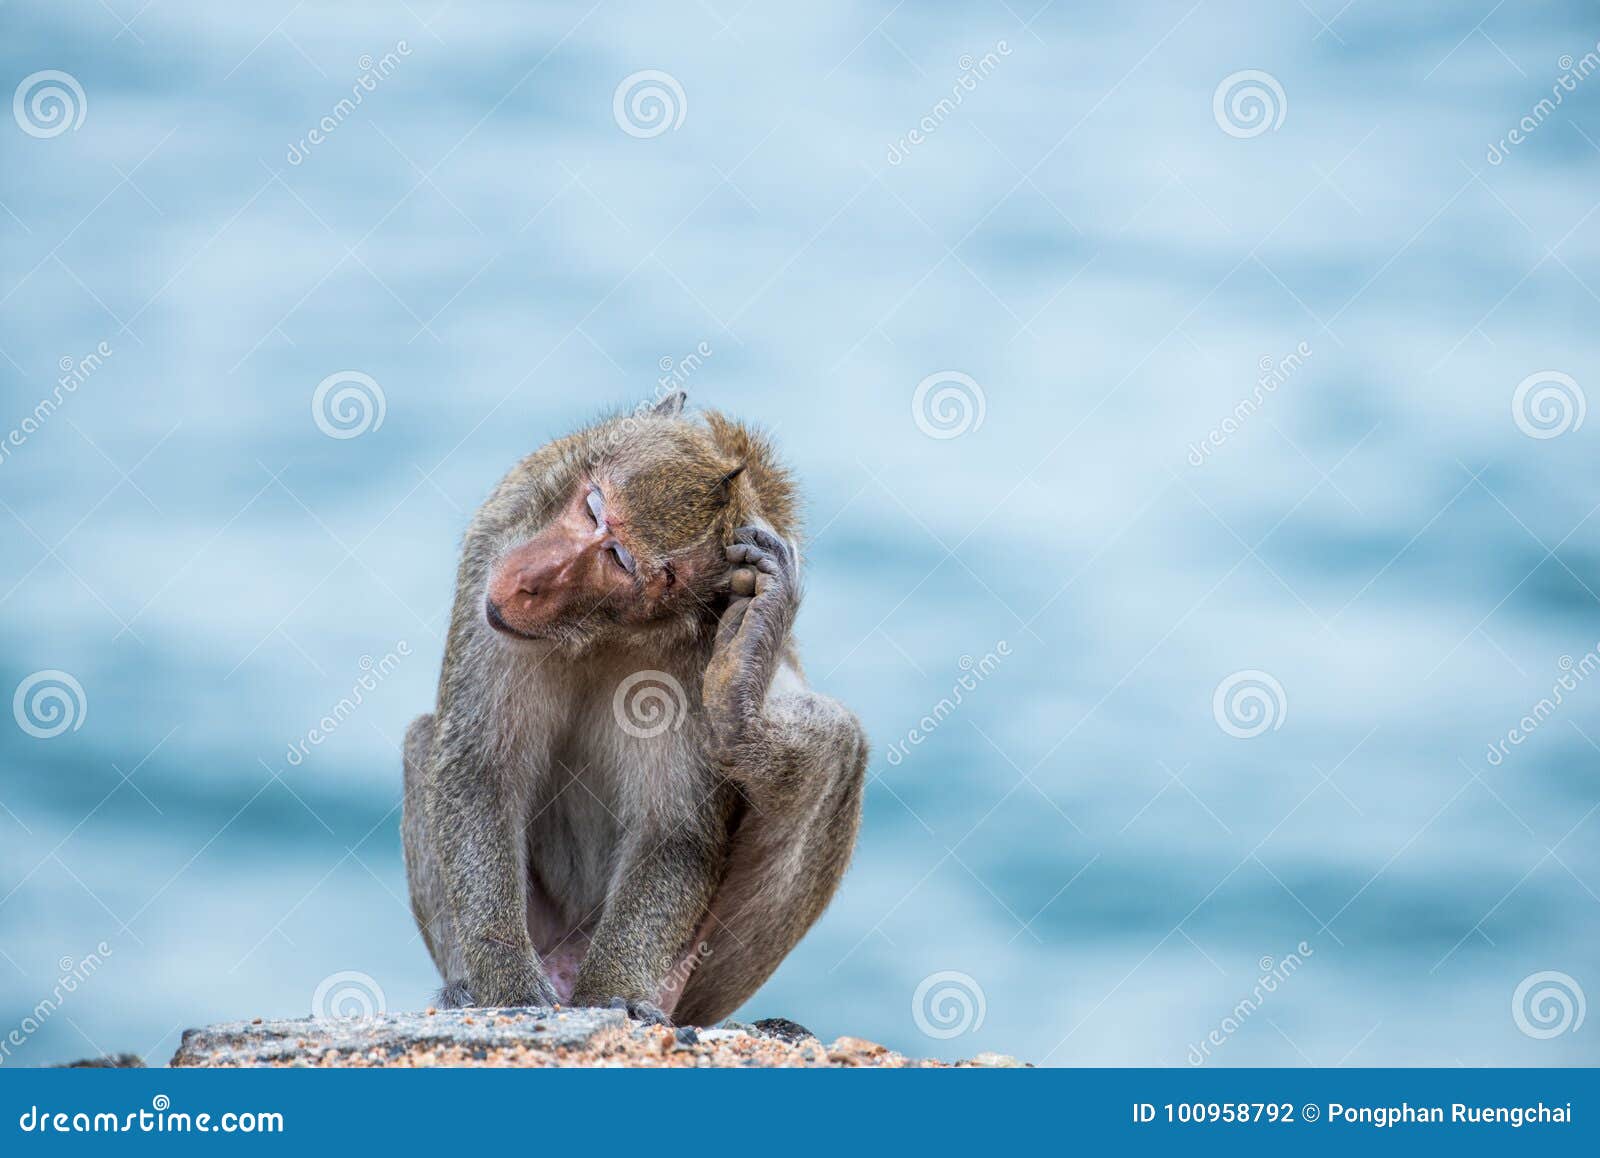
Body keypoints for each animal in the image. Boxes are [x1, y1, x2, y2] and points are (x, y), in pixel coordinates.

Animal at [400, 390, 867, 1026]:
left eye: (619, 559)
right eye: (592, 507)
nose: (529, 580)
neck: (600, 632)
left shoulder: (696, 660)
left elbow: (673, 831)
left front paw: (612, 992)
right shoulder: (494, 541)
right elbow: (479, 772)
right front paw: (506, 980)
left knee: (840, 744)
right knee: (425, 738)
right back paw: (470, 987)